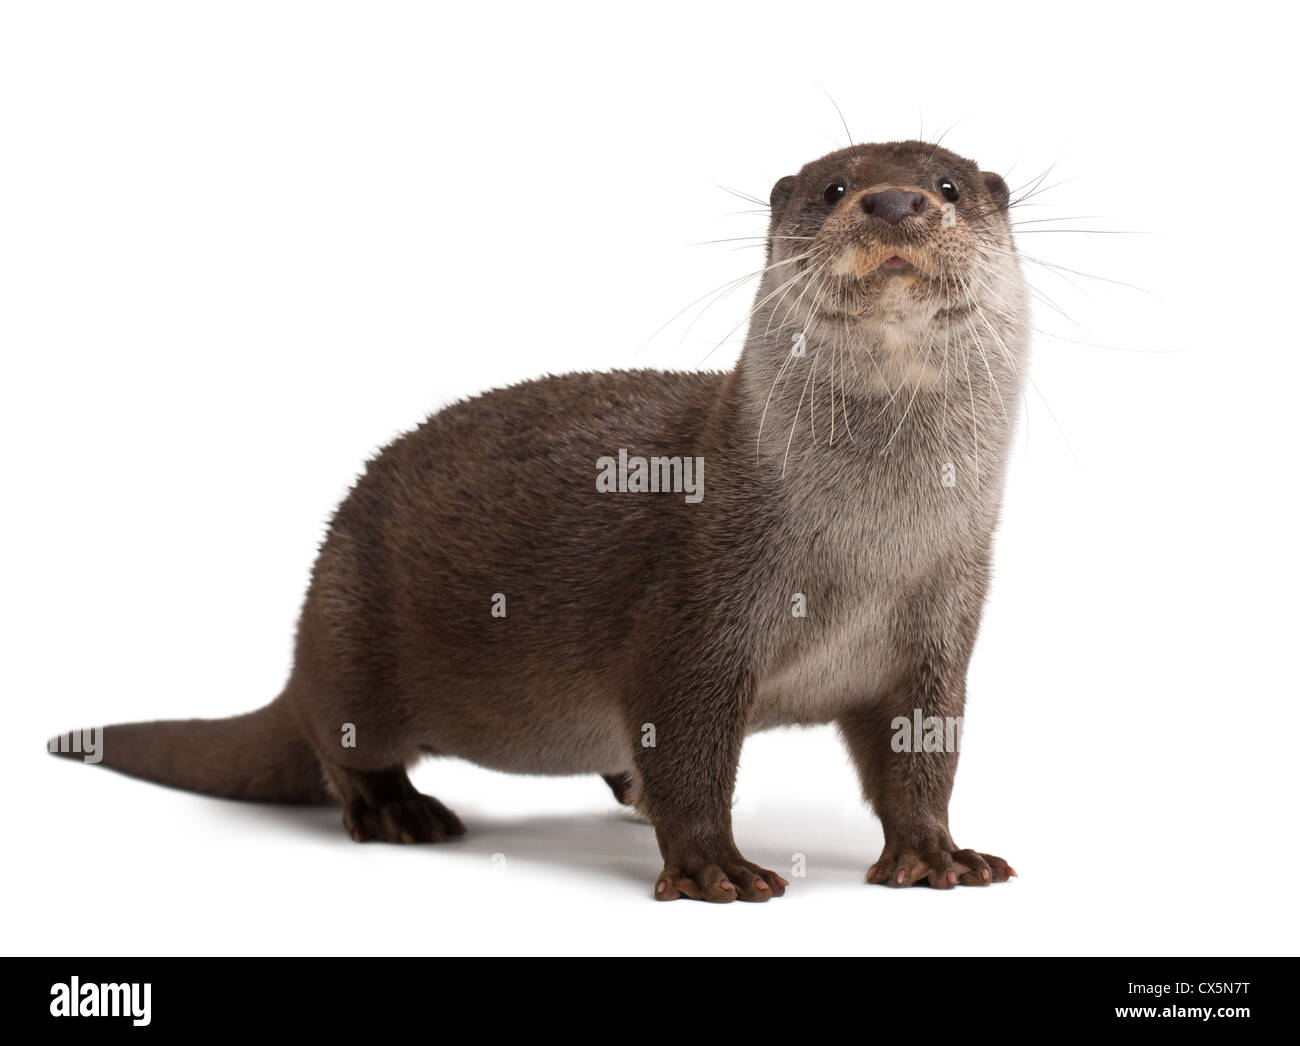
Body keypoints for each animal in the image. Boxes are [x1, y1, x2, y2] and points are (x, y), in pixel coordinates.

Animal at [51, 140, 1027, 901]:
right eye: (833, 187)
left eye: (948, 185)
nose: (893, 201)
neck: (866, 555)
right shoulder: (696, 605)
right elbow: (686, 743)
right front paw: (714, 868)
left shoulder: (941, 629)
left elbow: (921, 755)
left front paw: (940, 854)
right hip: (349, 625)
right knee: (340, 742)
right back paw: (398, 811)